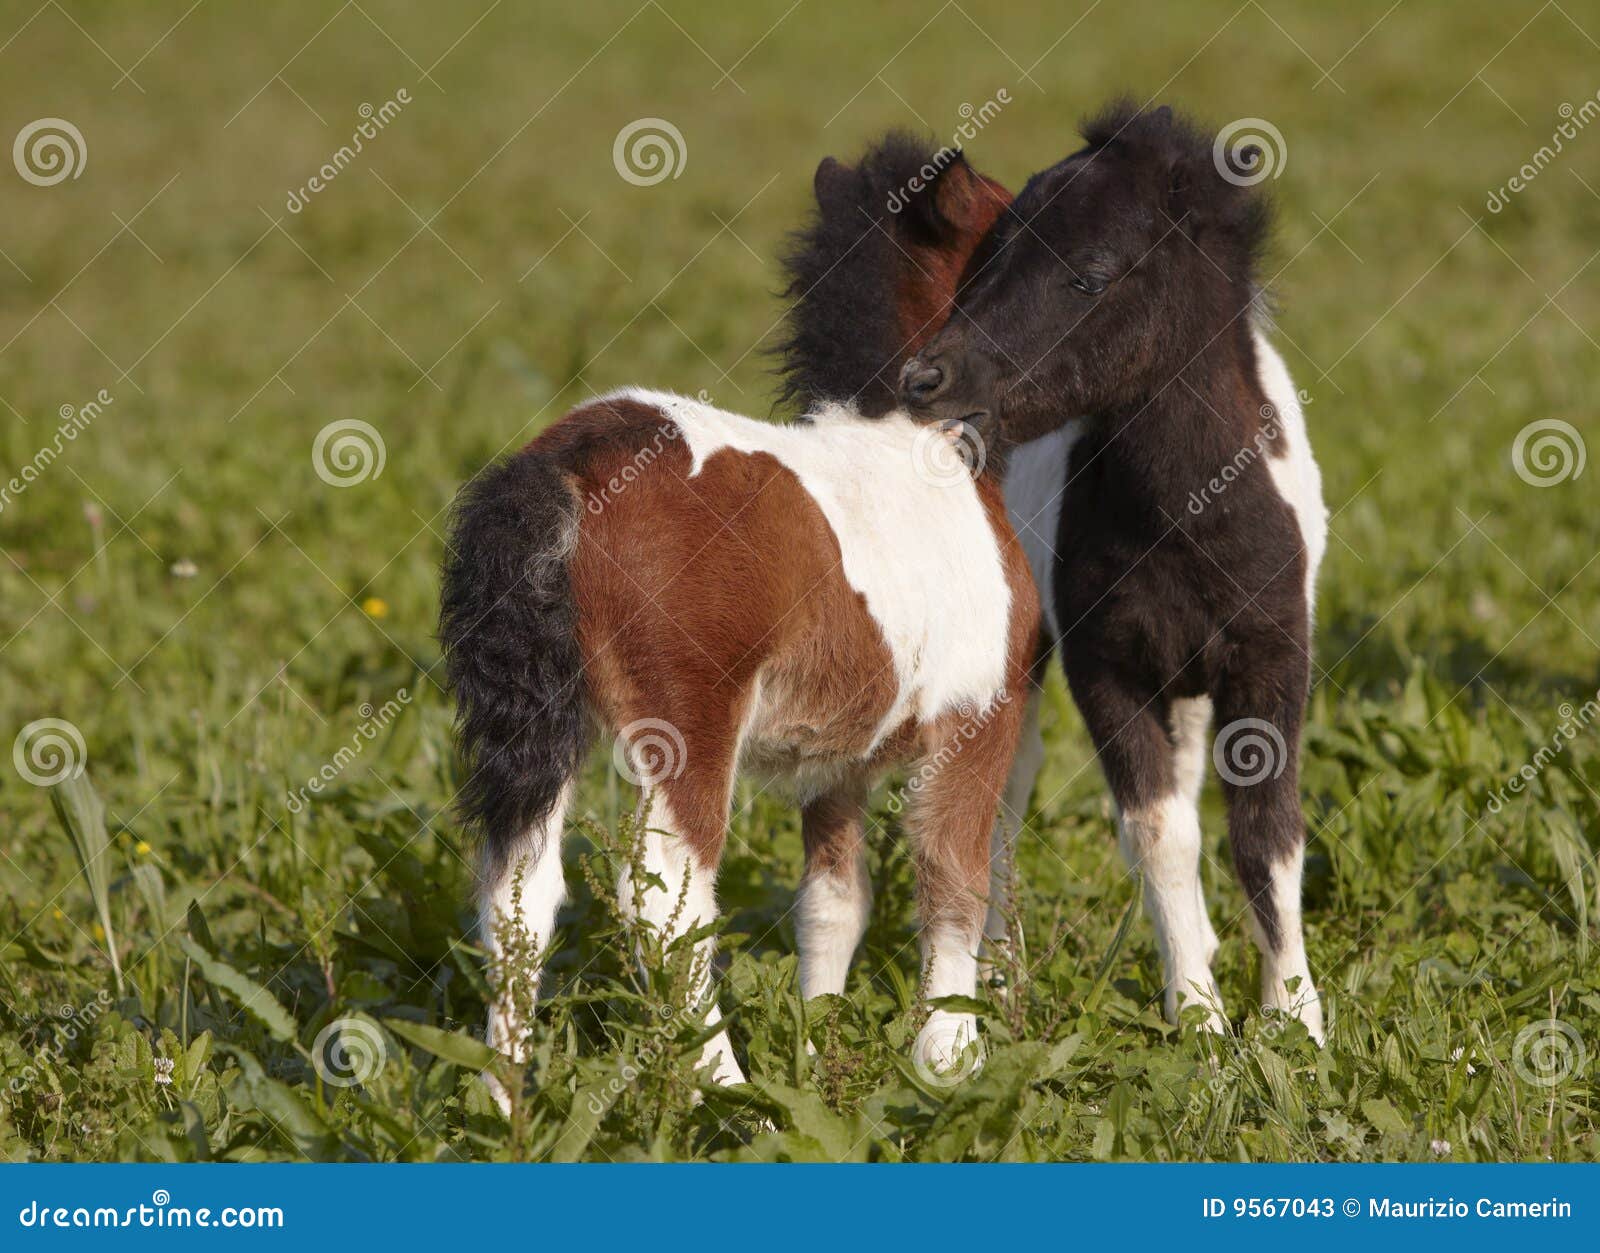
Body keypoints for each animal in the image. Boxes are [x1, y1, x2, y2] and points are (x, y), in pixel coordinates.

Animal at [439, 137, 1037, 1106]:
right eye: (1015, 224)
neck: (923, 445)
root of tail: (565, 460)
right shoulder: (981, 715)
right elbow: (957, 885)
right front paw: (949, 1062)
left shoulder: (841, 758)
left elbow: (834, 902)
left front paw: (819, 1052)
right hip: (688, 718)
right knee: (665, 893)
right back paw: (724, 1092)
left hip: (552, 724)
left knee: (518, 888)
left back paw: (501, 1099)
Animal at [897, 103, 1326, 1042]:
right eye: (988, 261)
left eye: (1090, 276)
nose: (924, 379)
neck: (1186, 511)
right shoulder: (1106, 666)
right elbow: (1160, 831)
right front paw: (1199, 1016)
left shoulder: (1274, 656)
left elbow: (1268, 832)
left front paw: (1297, 1021)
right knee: (1011, 792)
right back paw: (1002, 977)